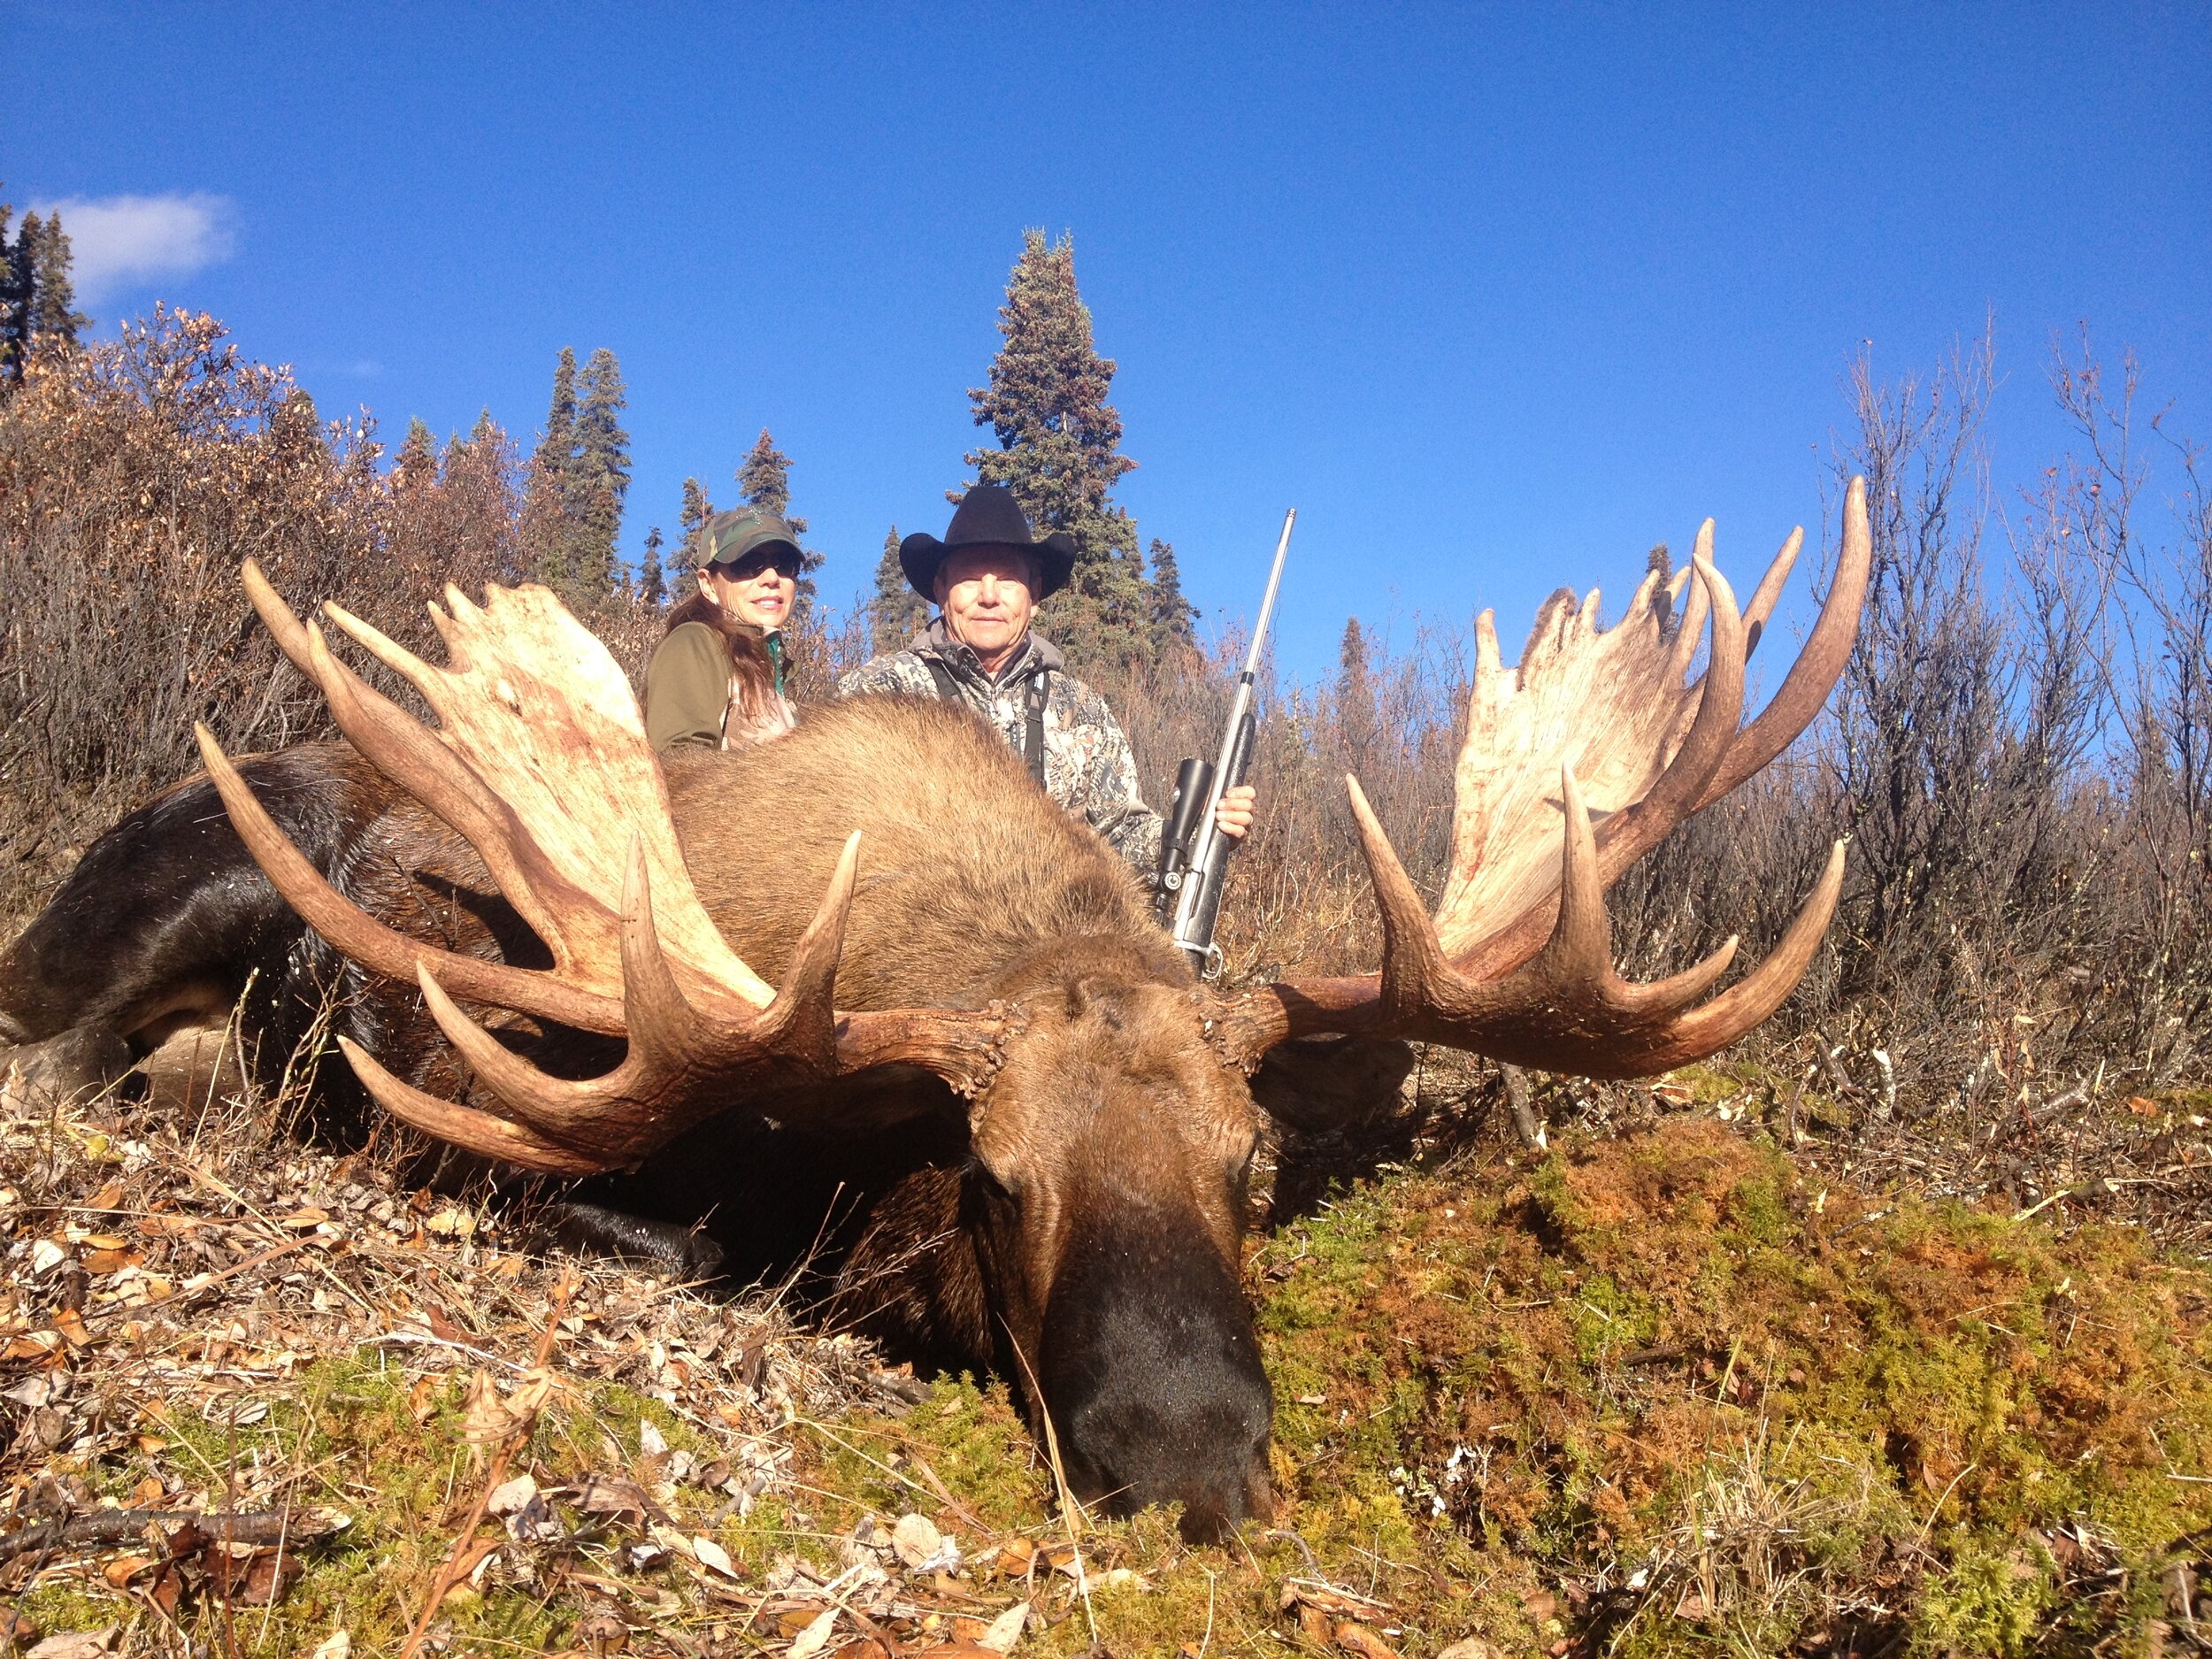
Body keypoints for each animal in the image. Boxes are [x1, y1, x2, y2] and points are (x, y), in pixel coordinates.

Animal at [0, 481, 1871, 1538]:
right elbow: (688, 1250)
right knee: (64, 1047)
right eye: (994, 1175)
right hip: (178, 886)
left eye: (1256, 1170)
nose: (1187, 1467)